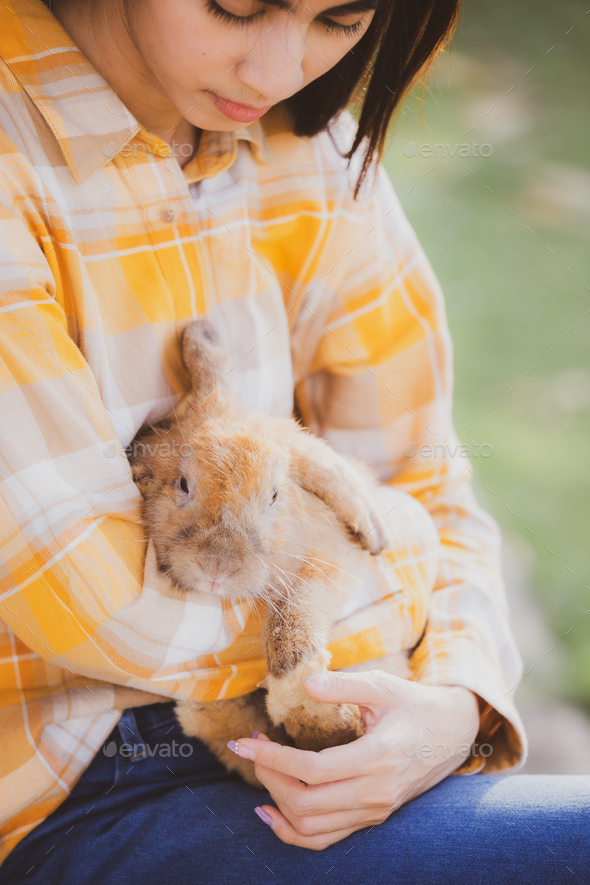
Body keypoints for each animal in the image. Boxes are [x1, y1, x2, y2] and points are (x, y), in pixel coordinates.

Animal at [129, 317, 396, 788]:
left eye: (274, 495)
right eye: (183, 483)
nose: (216, 568)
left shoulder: (334, 561)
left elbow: (300, 605)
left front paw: (293, 668)